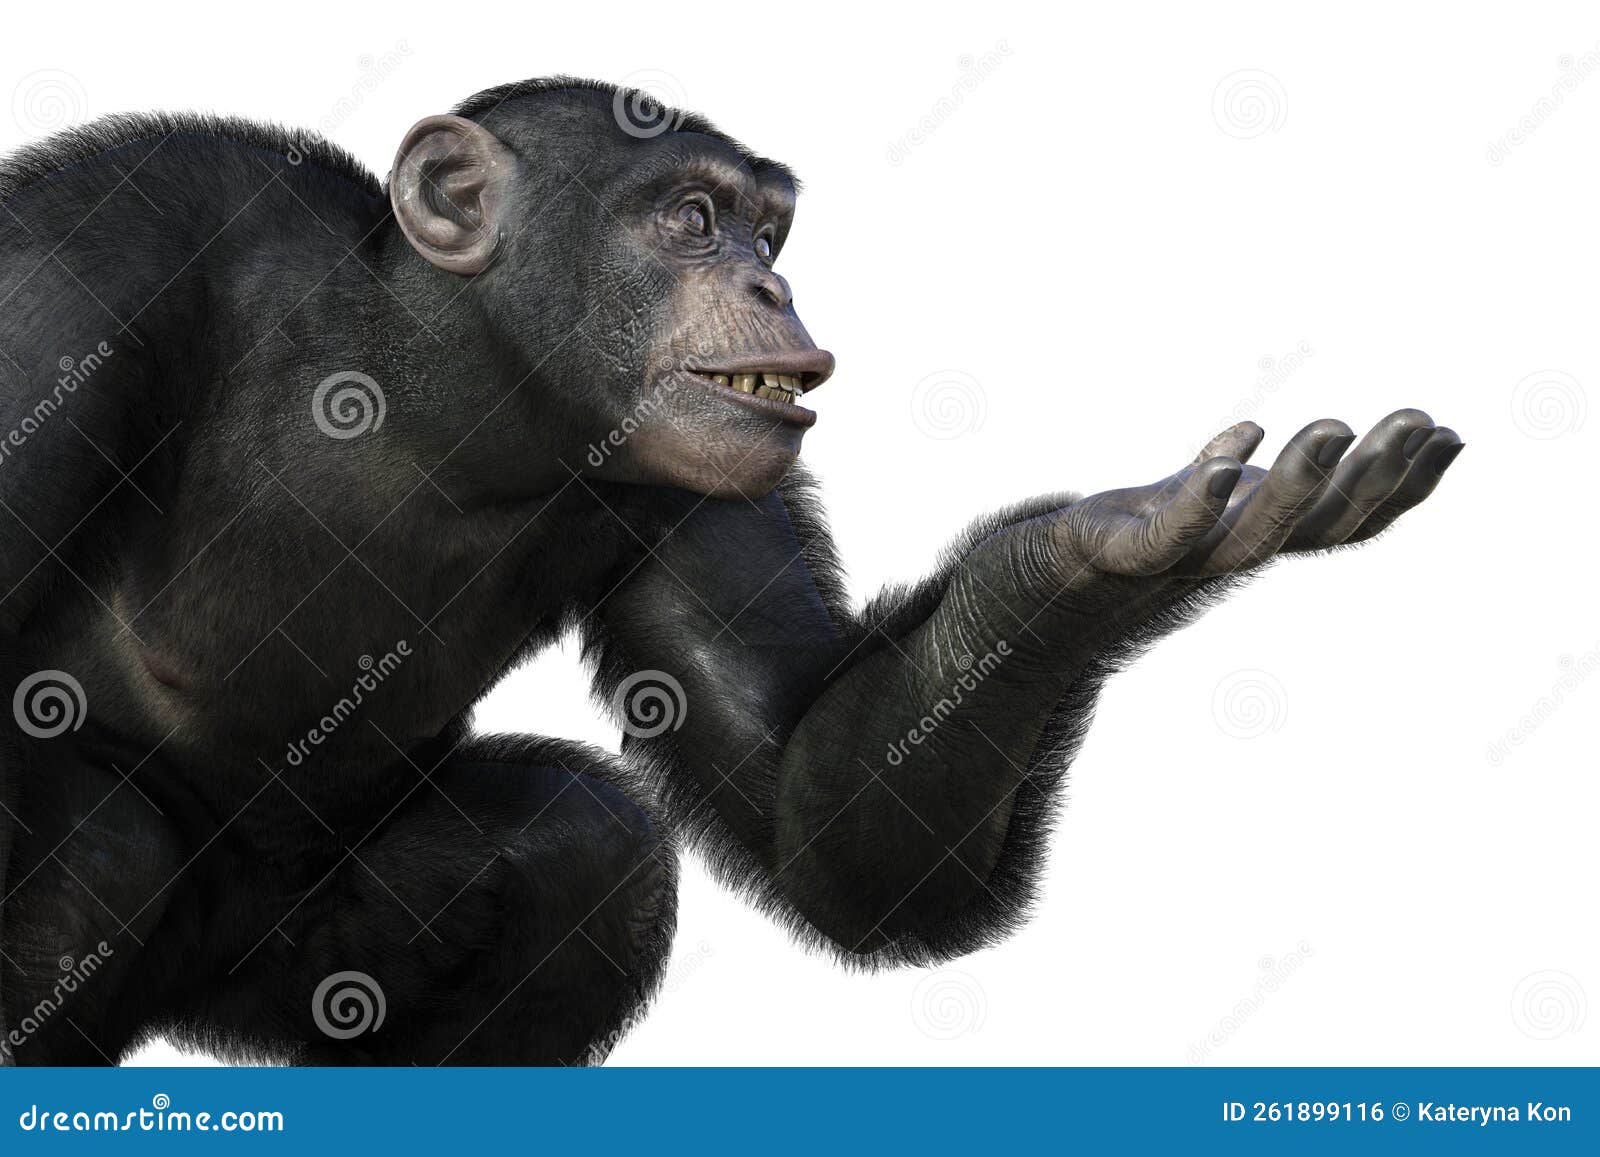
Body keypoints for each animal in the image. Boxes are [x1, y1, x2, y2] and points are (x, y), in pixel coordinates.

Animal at [0, 77, 1462, 1065]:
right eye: (691, 218)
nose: (769, 290)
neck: (416, 378)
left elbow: (817, 811)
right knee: (91, 842)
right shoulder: (88, 257)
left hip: (288, 973)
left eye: (770, 234)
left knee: (585, 844)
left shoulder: (705, 486)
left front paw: (1101, 552)